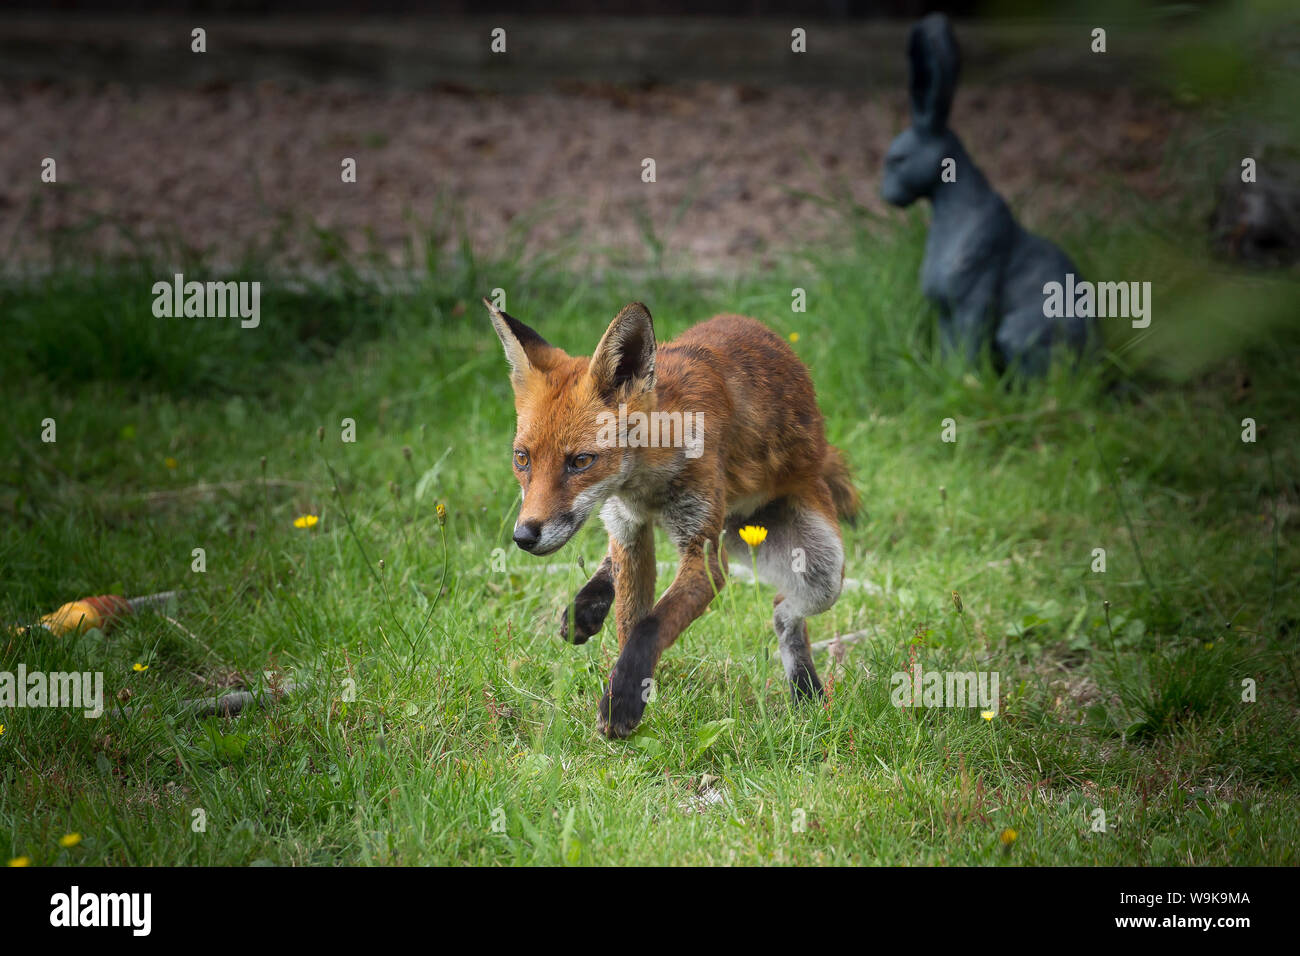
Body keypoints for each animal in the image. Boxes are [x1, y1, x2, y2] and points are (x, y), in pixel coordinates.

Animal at [485, 297, 859, 738]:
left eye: (581, 461)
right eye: (521, 458)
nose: (524, 536)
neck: (647, 485)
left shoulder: (707, 554)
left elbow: (650, 626)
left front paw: (622, 700)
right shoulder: (629, 528)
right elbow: (631, 621)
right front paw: (630, 693)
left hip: (821, 569)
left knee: (784, 610)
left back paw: (806, 693)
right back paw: (587, 605)